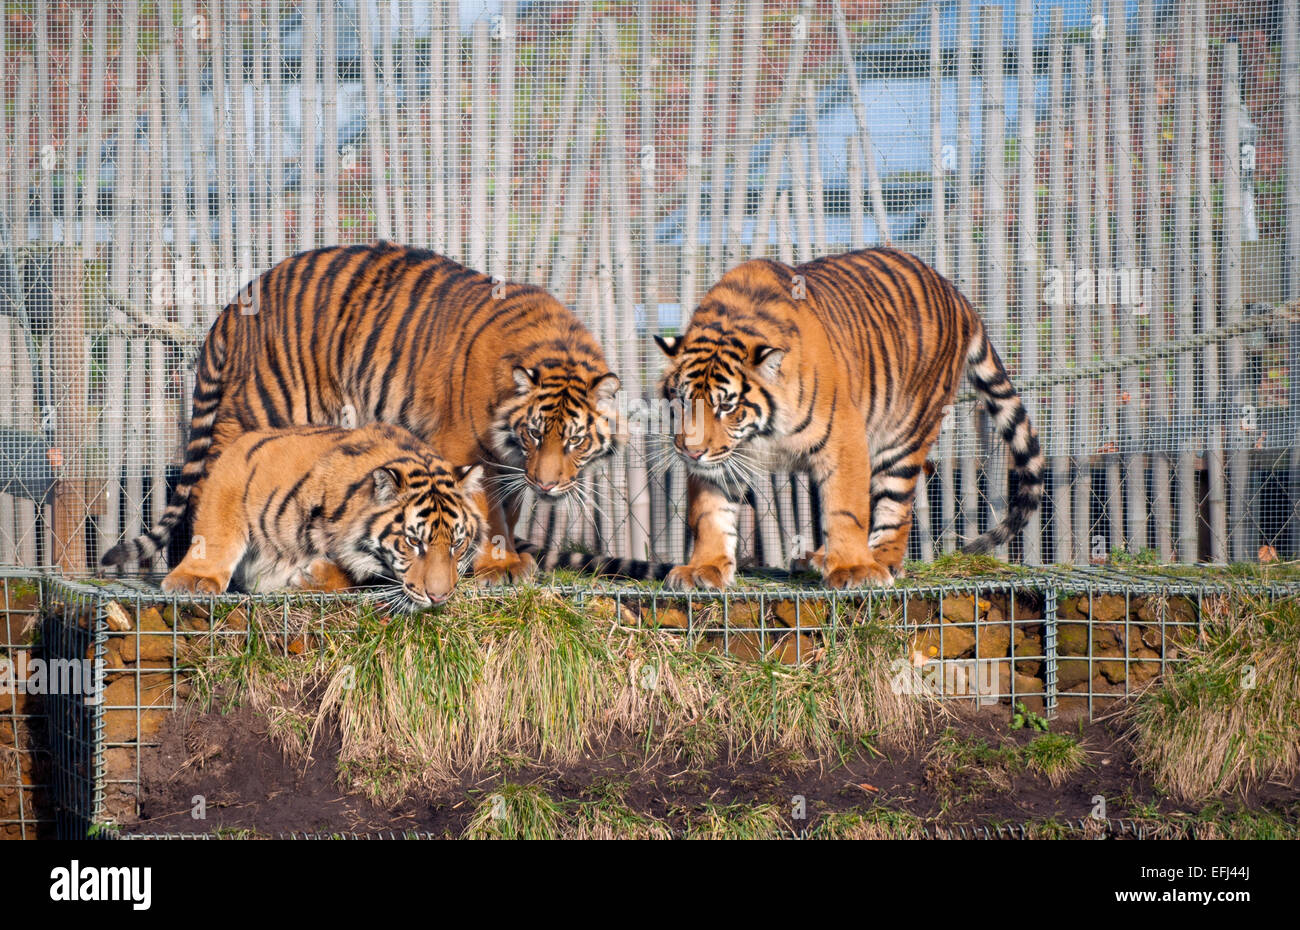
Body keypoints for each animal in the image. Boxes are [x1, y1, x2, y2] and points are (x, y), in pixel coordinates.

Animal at [101, 242, 620, 582]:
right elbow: (487, 510)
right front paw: (501, 565)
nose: (547, 486)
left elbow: (507, 511)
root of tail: (237, 300)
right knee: (219, 472)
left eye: (574, 440)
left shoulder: (509, 464)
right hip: (269, 401)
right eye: (534, 433)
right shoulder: (466, 446)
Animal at [156, 422, 485, 610]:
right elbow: (216, 531)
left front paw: (312, 578)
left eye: (457, 545)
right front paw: (194, 579)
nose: (439, 598)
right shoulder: (241, 460)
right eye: (414, 542)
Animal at [653, 247, 1044, 590]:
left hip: (906, 433)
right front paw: (702, 569)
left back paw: (880, 561)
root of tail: (958, 295)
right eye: (683, 402)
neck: (761, 433)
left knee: (895, 504)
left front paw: (854, 569)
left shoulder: (843, 440)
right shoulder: (722, 459)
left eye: (726, 407)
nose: (690, 452)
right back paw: (821, 557)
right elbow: (710, 513)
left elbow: (845, 509)